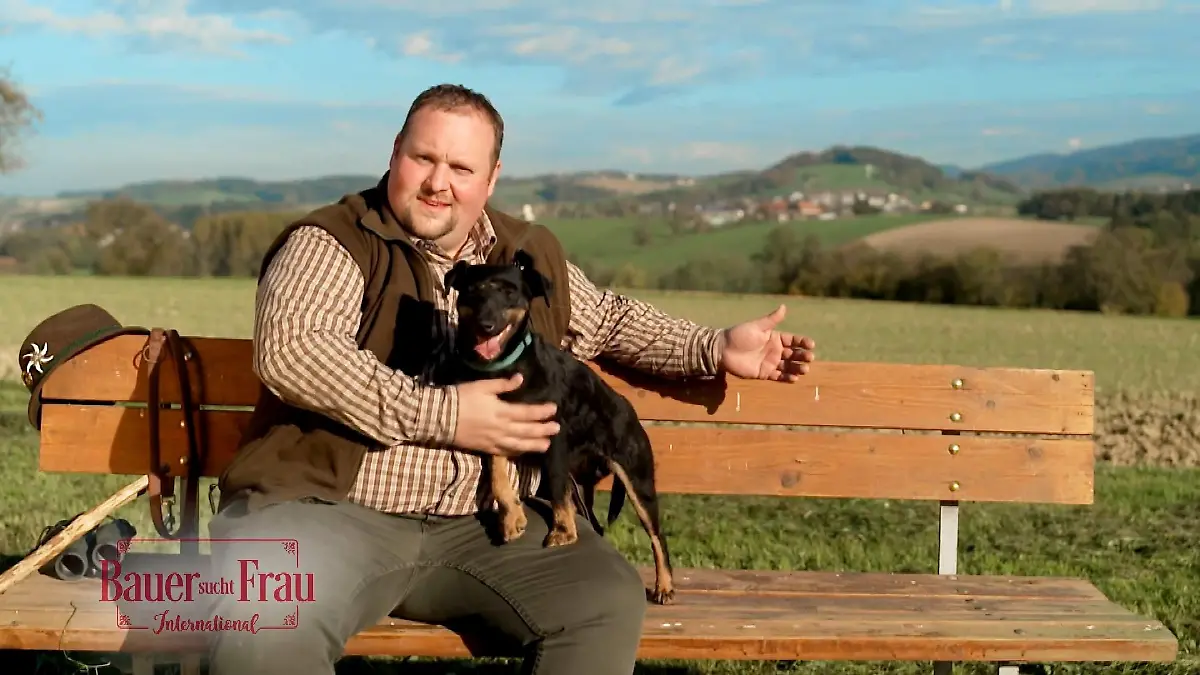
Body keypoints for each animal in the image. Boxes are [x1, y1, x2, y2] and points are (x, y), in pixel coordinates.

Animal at [441, 249, 676, 600]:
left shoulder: (554, 440)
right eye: (473, 290)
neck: (507, 367)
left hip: (638, 478)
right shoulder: (497, 428)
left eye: (510, 292)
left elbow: (553, 486)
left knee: (658, 537)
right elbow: (497, 476)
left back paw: (664, 585)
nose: (487, 325)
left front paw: (563, 532)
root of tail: (629, 409)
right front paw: (512, 519)